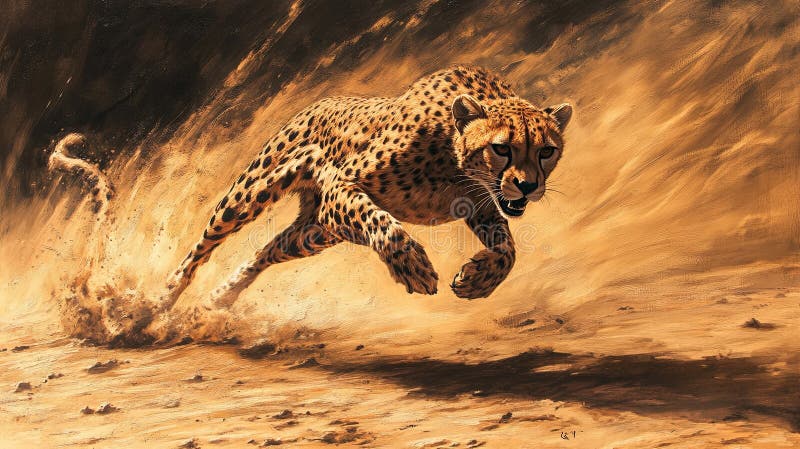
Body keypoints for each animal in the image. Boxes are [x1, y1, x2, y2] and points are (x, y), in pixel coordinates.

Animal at [159, 65, 572, 311]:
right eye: (501, 148)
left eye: (547, 151)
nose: (528, 186)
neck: (455, 166)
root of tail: (320, 101)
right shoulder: (341, 187)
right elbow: (382, 223)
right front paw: (414, 267)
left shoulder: (484, 208)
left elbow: (508, 250)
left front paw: (477, 280)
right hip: (251, 194)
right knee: (203, 245)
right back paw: (159, 303)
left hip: (314, 234)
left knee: (265, 251)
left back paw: (218, 299)